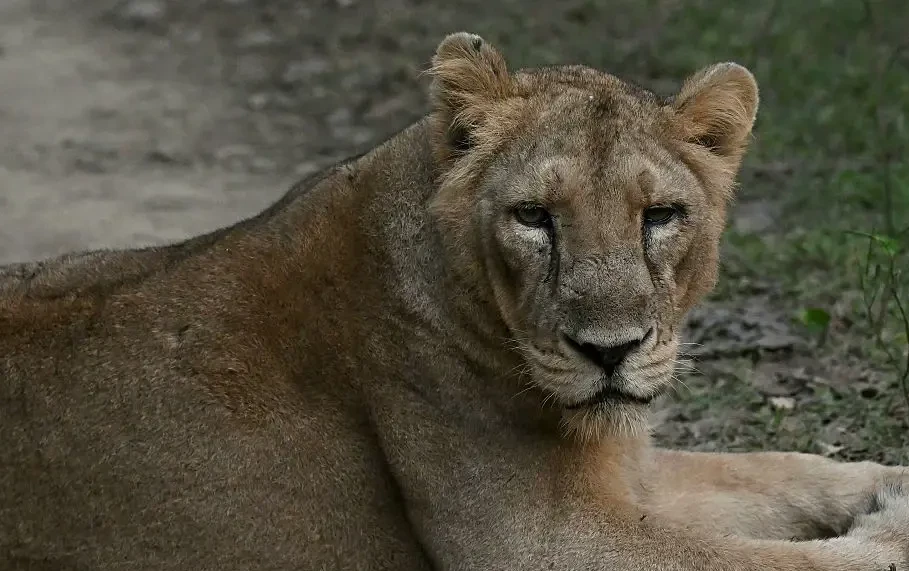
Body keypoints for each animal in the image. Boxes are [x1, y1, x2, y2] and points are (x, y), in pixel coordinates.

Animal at [1, 31, 908, 571]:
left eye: (660, 216)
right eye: (533, 216)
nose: (608, 350)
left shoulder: (623, 471)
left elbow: (771, 468)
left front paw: (889, 487)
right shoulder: (539, 538)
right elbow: (758, 557)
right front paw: (887, 533)